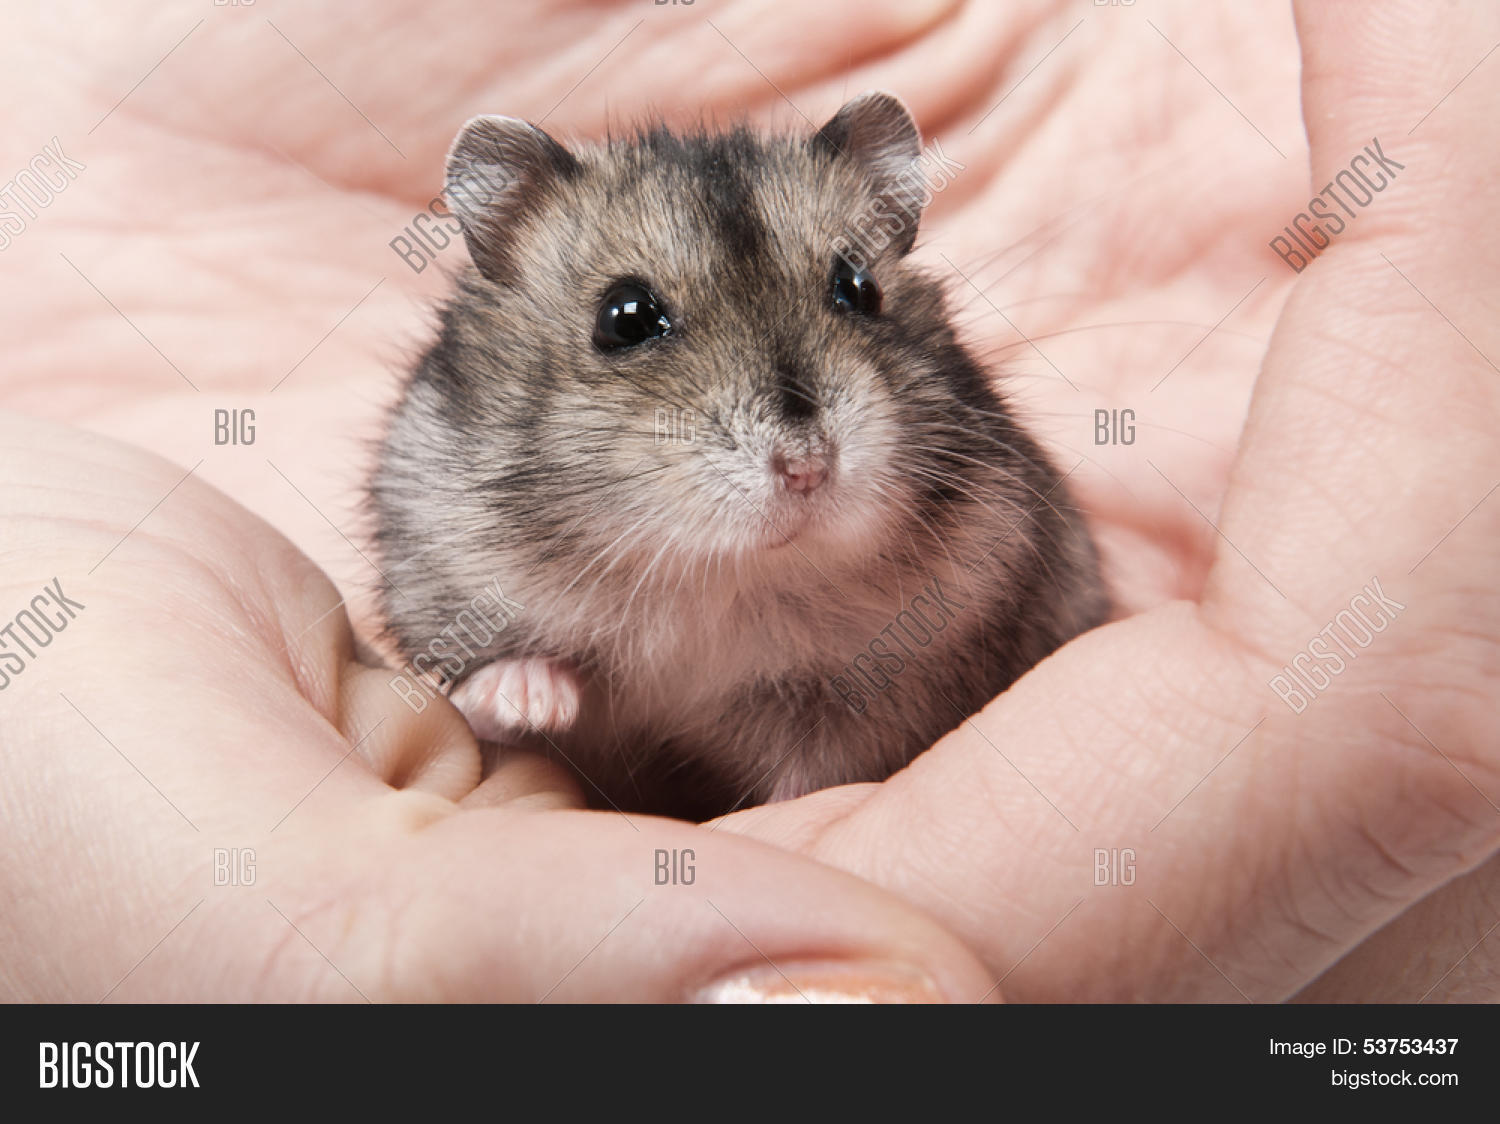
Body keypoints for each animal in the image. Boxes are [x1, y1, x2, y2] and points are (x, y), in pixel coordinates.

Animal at [371, 92, 1106, 821]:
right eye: (624, 316)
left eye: (859, 288)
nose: (807, 468)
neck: (721, 575)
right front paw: (531, 700)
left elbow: (823, 763)